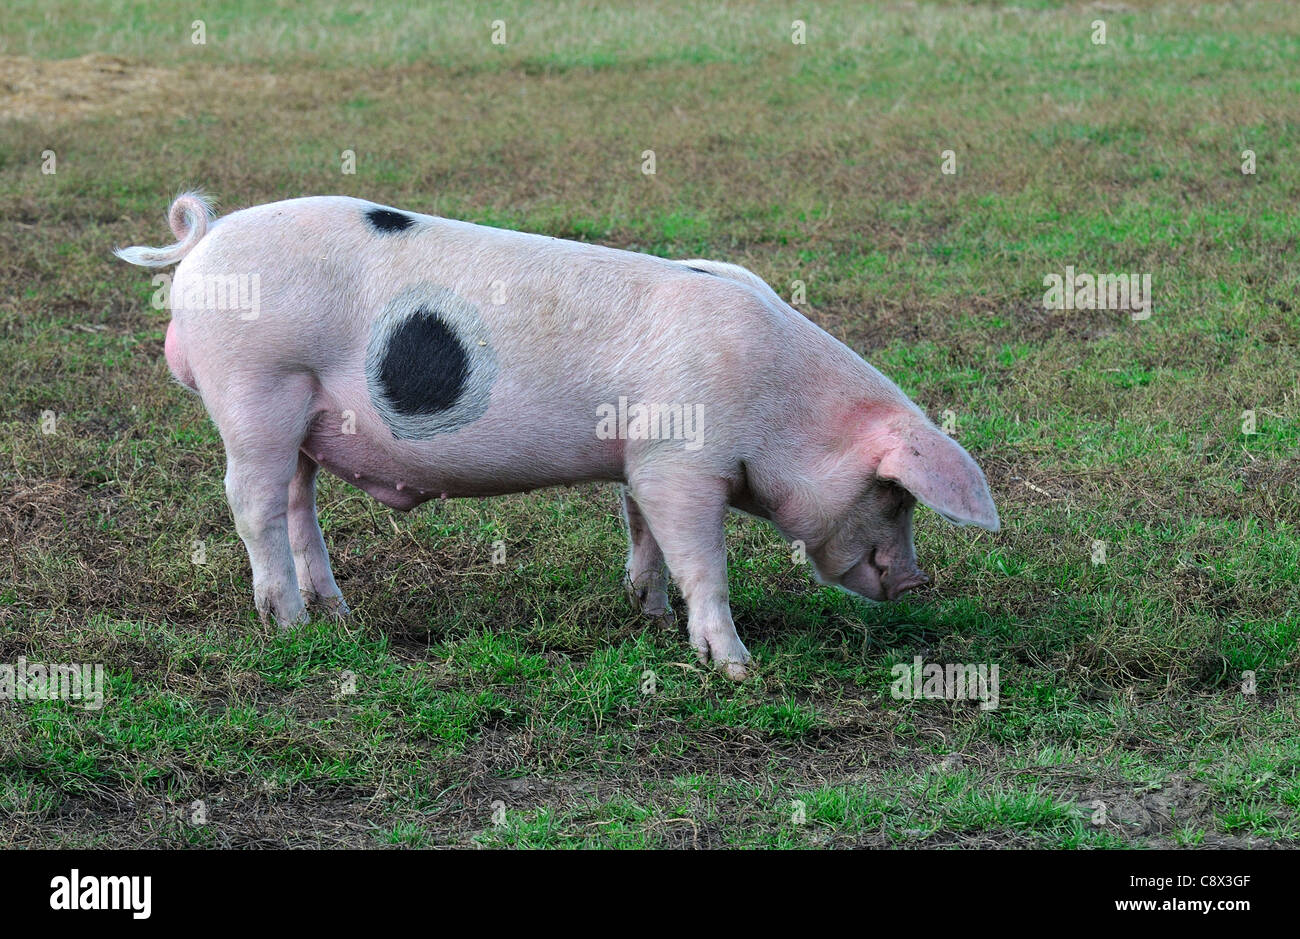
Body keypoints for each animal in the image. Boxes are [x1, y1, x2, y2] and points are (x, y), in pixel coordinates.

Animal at [116, 192, 1000, 680]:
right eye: (895, 495)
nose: (917, 582)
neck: (782, 400)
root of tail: (204, 240)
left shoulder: (641, 457)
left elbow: (642, 531)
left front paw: (647, 613)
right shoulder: (683, 460)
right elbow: (702, 559)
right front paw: (736, 666)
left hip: (301, 415)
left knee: (299, 505)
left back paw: (336, 613)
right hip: (256, 386)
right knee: (252, 502)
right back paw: (290, 625)